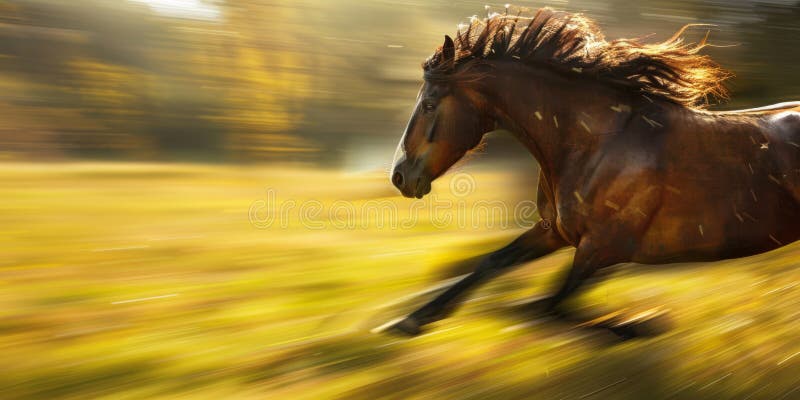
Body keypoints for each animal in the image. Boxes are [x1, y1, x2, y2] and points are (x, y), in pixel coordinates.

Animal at [385, 7, 800, 336]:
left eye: (430, 104)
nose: (400, 177)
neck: (595, 145)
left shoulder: (603, 248)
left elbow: (552, 307)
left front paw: (643, 324)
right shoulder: (554, 232)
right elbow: (493, 264)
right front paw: (407, 321)